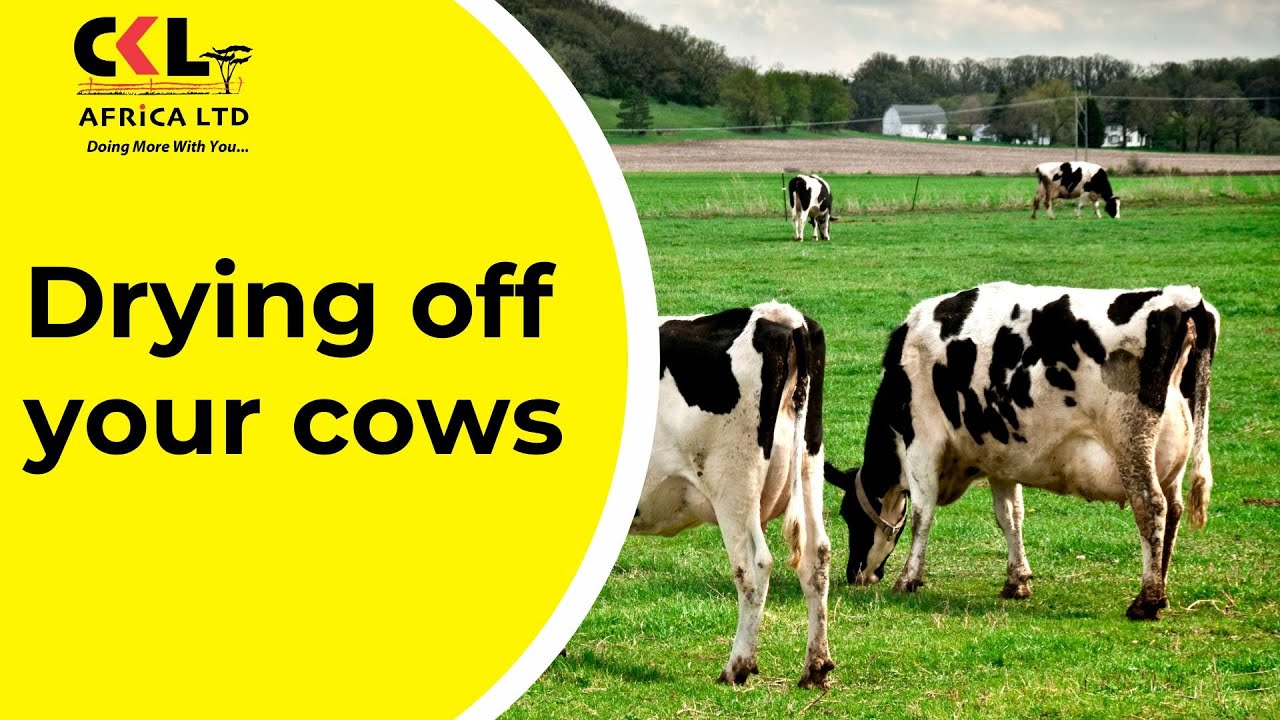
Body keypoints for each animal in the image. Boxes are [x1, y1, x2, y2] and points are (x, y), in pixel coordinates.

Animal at [633, 302, 834, 689]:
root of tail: (780, 315)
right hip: (808, 466)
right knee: (817, 556)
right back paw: (815, 666)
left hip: (734, 485)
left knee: (754, 567)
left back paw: (737, 666)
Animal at [824, 282, 1218, 621]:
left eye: (849, 514)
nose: (855, 574)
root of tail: (1182, 299)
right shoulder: (1002, 459)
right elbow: (1010, 516)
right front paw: (1017, 581)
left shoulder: (922, 442)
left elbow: (923, 513)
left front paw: (908, 579)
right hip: (1171, 455)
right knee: (1174, 511)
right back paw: (1161, 590)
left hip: (1131, 441)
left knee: (1151, 507)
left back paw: (1146, 600)